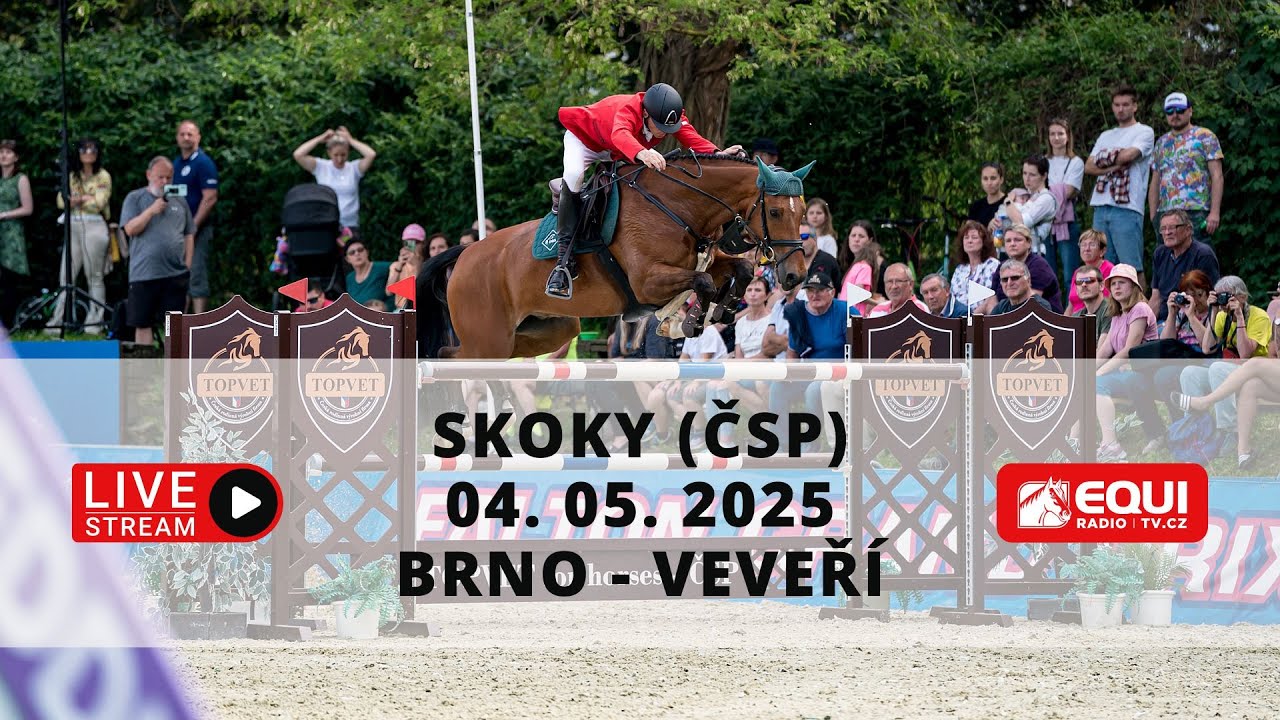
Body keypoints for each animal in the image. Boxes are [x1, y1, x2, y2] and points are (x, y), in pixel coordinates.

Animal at [416, 154, 814, 360]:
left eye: (803, 212)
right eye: (776, 212)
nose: (794, 276)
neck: (676, 206)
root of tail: (465, 255)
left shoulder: (701, 263)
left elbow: (740, 268)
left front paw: (721, 310)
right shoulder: (648, 282)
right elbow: (700, 282)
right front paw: (686, 322)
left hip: (547, 329)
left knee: (455, 354)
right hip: (489, 340)